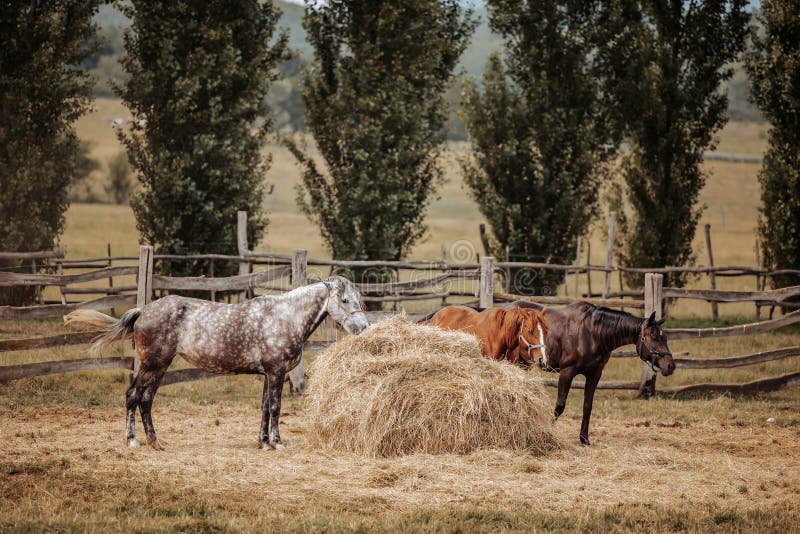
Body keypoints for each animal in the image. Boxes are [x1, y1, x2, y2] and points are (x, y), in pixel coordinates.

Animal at [64, 276, 369, 451]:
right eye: (344, 299)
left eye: (359, 299)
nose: (363, 328)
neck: (284, 317)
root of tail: (144, 310)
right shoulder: (276, 371)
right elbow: (275, 407)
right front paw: (277, 442)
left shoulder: (267, 375)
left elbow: (263, 407)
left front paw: (263, 442)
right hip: (152, 364)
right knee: (133, 396)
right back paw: (133, 440)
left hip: (160, 367)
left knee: (146, 400)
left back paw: (155, 442)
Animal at [511, 300, 675, 445]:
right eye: (653, 336)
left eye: (665, 337)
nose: (670, 366)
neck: (592, 333)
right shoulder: (567, 372)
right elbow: (560, 406)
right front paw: (548, 431)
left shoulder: (594, 374)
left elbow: (587, 406)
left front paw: (584, 438)